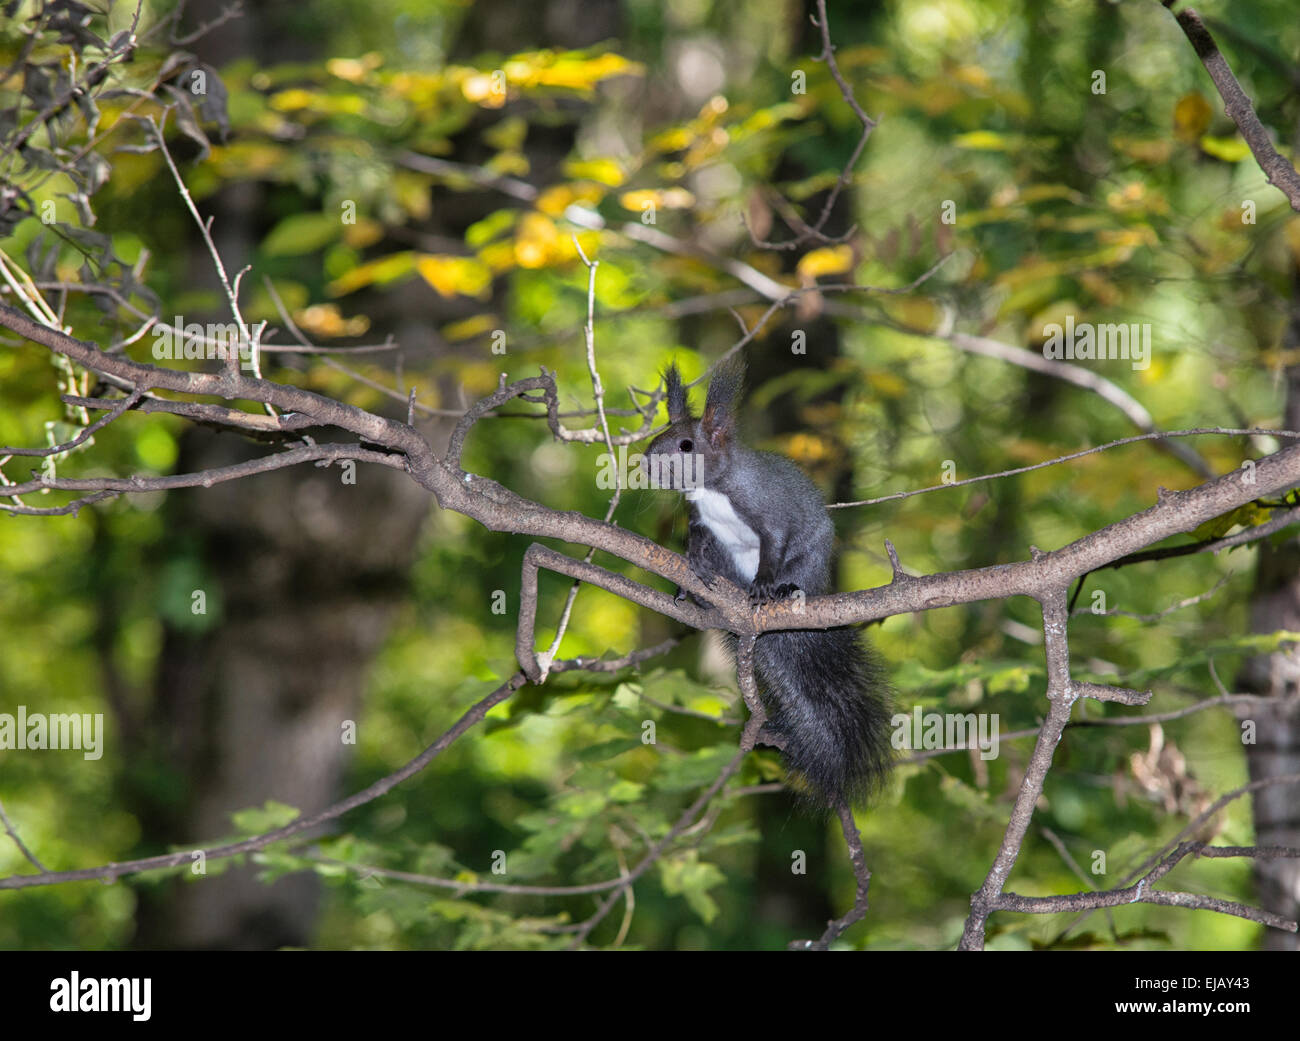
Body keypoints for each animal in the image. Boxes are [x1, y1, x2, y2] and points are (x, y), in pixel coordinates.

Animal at [644, 356, 894, 810]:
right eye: (660, 432)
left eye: (686, 445)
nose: (643, 461)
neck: (712, 489)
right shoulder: (700, 522)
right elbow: (696, 542)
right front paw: (691, 568)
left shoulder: (768, 510)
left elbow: (774, 542)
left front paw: (764, 585)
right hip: (727, 565)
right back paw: (699, 595)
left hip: (807, 564)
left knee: (792, 571)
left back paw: (782, 591)